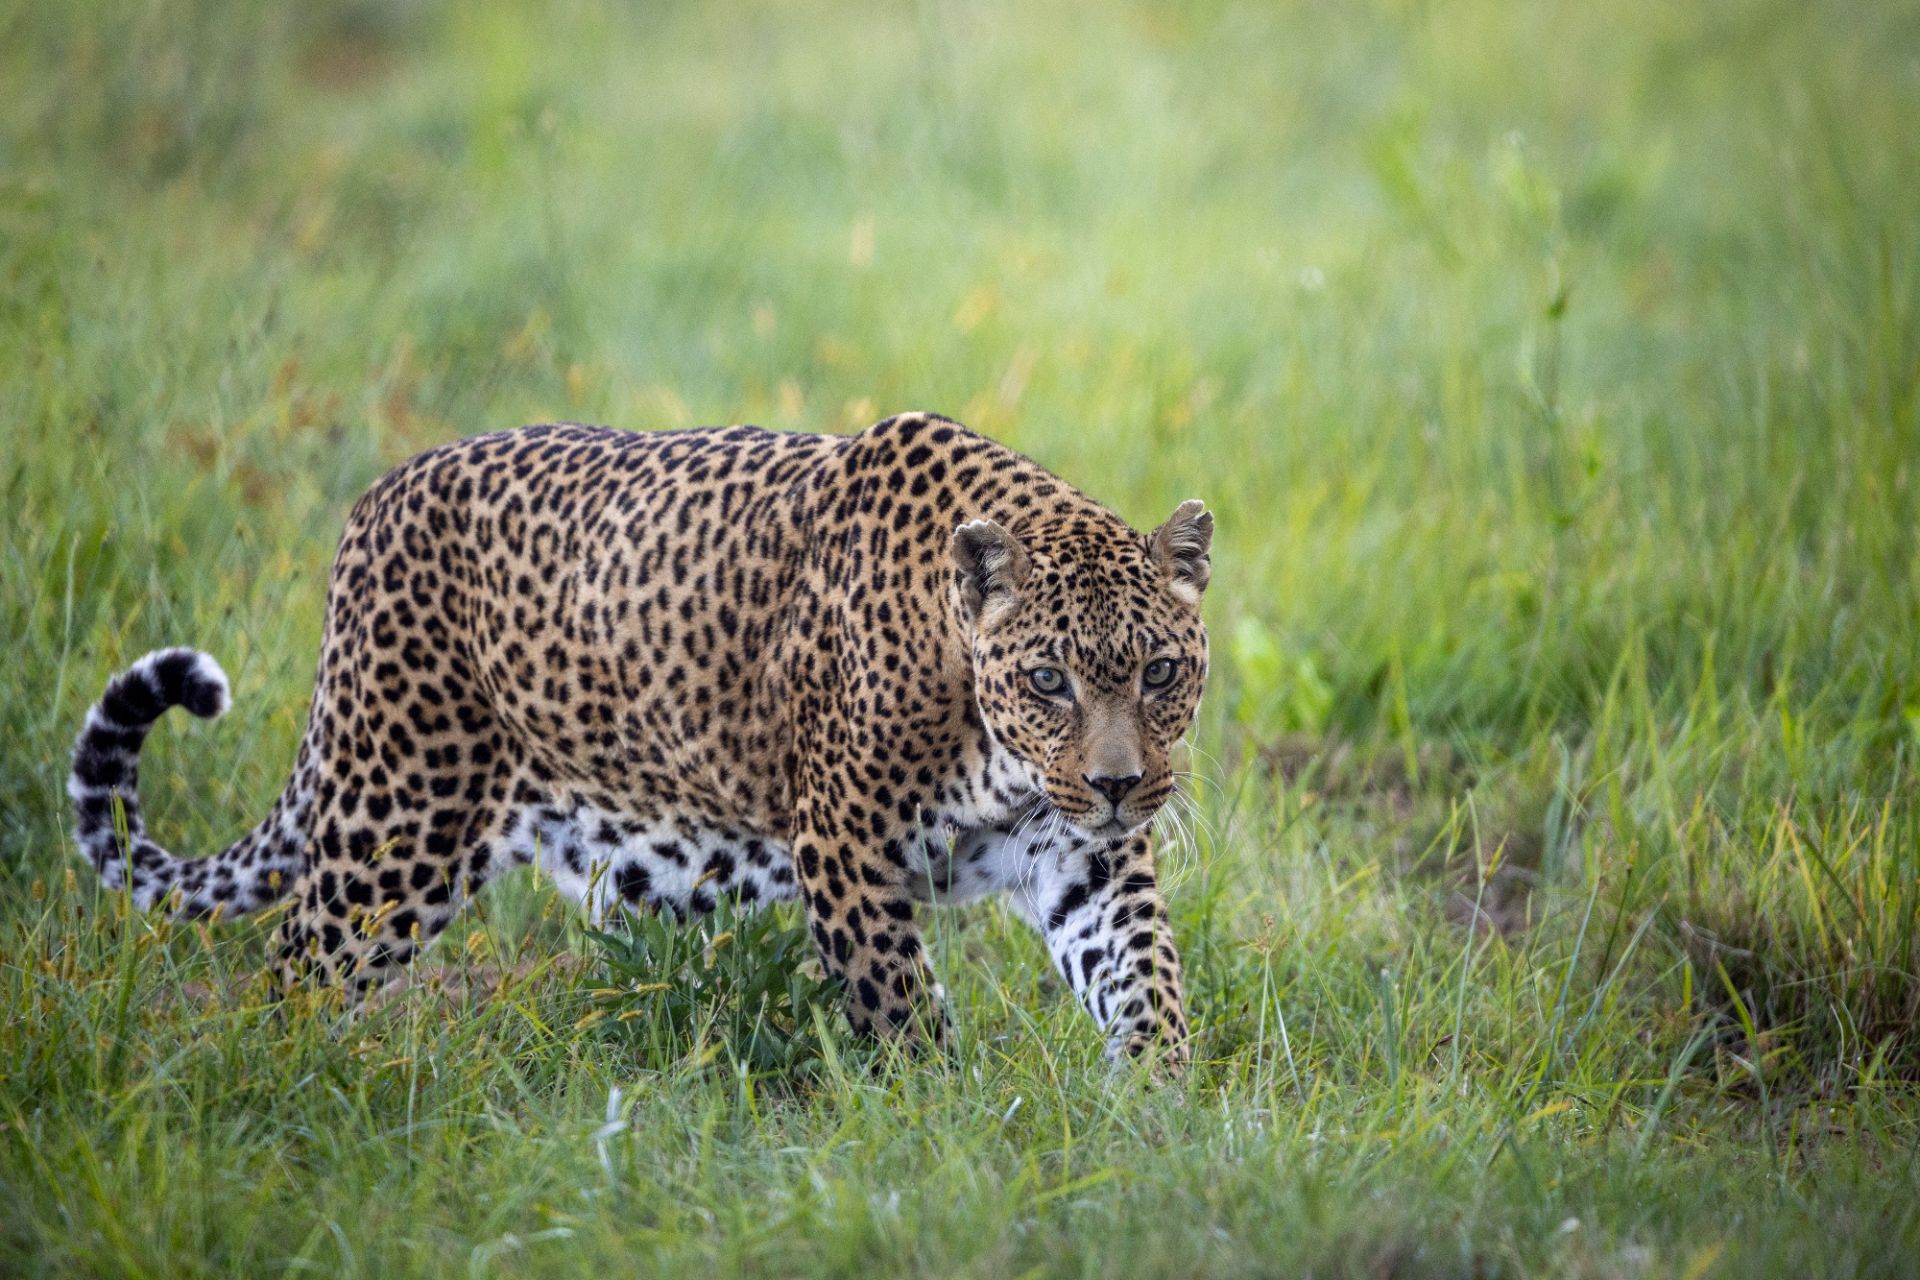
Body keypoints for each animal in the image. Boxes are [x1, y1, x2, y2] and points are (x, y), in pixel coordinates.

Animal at [67, 412, 1213, 1062]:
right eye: (1047, 679)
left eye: (1160, 671)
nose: (1119, 783)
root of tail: (371, 505)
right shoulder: (846, 847)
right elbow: (902, 1008)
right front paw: (943, 1125)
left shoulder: (1083, 858)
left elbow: (1146, 975)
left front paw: (1158, 1107)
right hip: (392, 823)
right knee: (294, 970)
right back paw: (290, 1090)